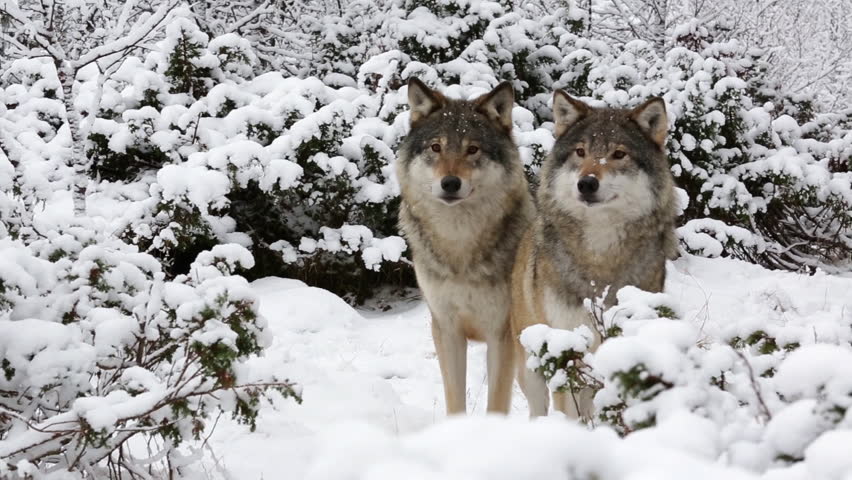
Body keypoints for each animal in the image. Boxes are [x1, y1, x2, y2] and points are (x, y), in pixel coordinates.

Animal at [396, 78, 535, 414]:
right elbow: (455, 399)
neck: (459, 246)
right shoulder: (446, 330)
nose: (450, 183)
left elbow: (496, 403)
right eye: (436, 147)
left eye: (473, 149)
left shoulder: (501, 335)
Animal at [511, 90, 678, 419]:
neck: (600, 255)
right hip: (532, 365)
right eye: (580, 151)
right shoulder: (566, 348)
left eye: (618, 154)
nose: (586, 183)